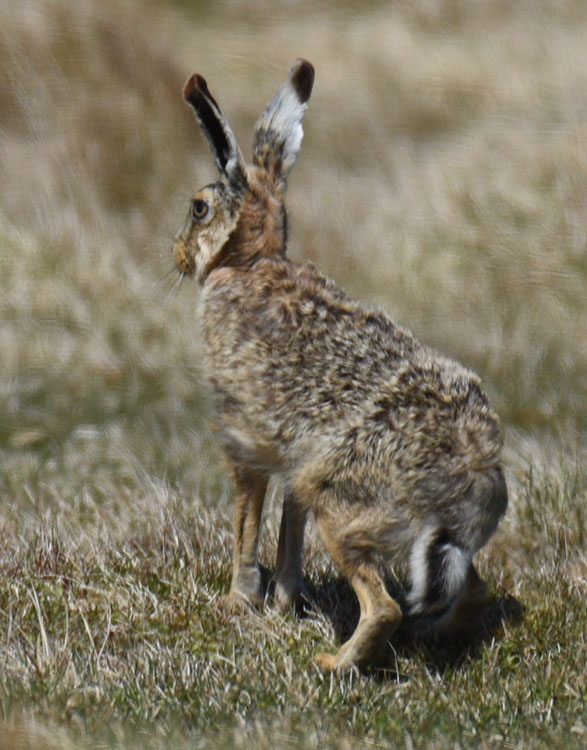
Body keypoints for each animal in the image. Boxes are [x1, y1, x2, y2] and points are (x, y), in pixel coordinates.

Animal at [173, 59, 508, 671]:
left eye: (199, 208)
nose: (180, 256)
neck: (250, 263)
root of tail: (472, 469)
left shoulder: (246, 445)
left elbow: (247, 522)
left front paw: (239, 602)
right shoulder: (293, 462)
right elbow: (288, 528)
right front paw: (284, 602)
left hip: (342, 507)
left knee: (383, 606)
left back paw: (336, 663)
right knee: (469, 589)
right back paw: (435, 640)